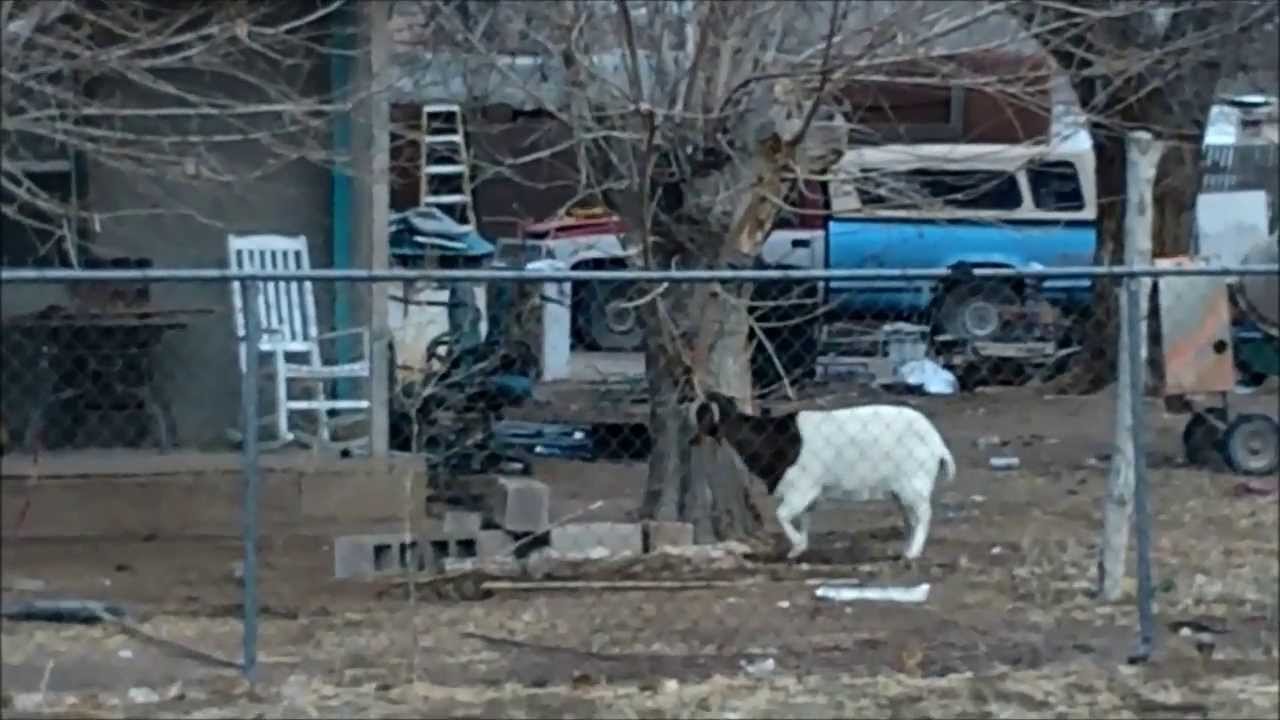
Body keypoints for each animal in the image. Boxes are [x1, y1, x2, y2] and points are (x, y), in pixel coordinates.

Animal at [689, 391, 956, 561]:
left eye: (703, 414)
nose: (692, 441)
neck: (774, 440)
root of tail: (938, 444)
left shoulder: (801, 488)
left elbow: (782, 514)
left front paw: (796, 547)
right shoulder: (807, 494)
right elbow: (804, 518)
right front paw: (799, 549)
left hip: (914, 483)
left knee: (924, 515)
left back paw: (913, 553)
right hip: (902, 489)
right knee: (911, 518)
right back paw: (905, 549)